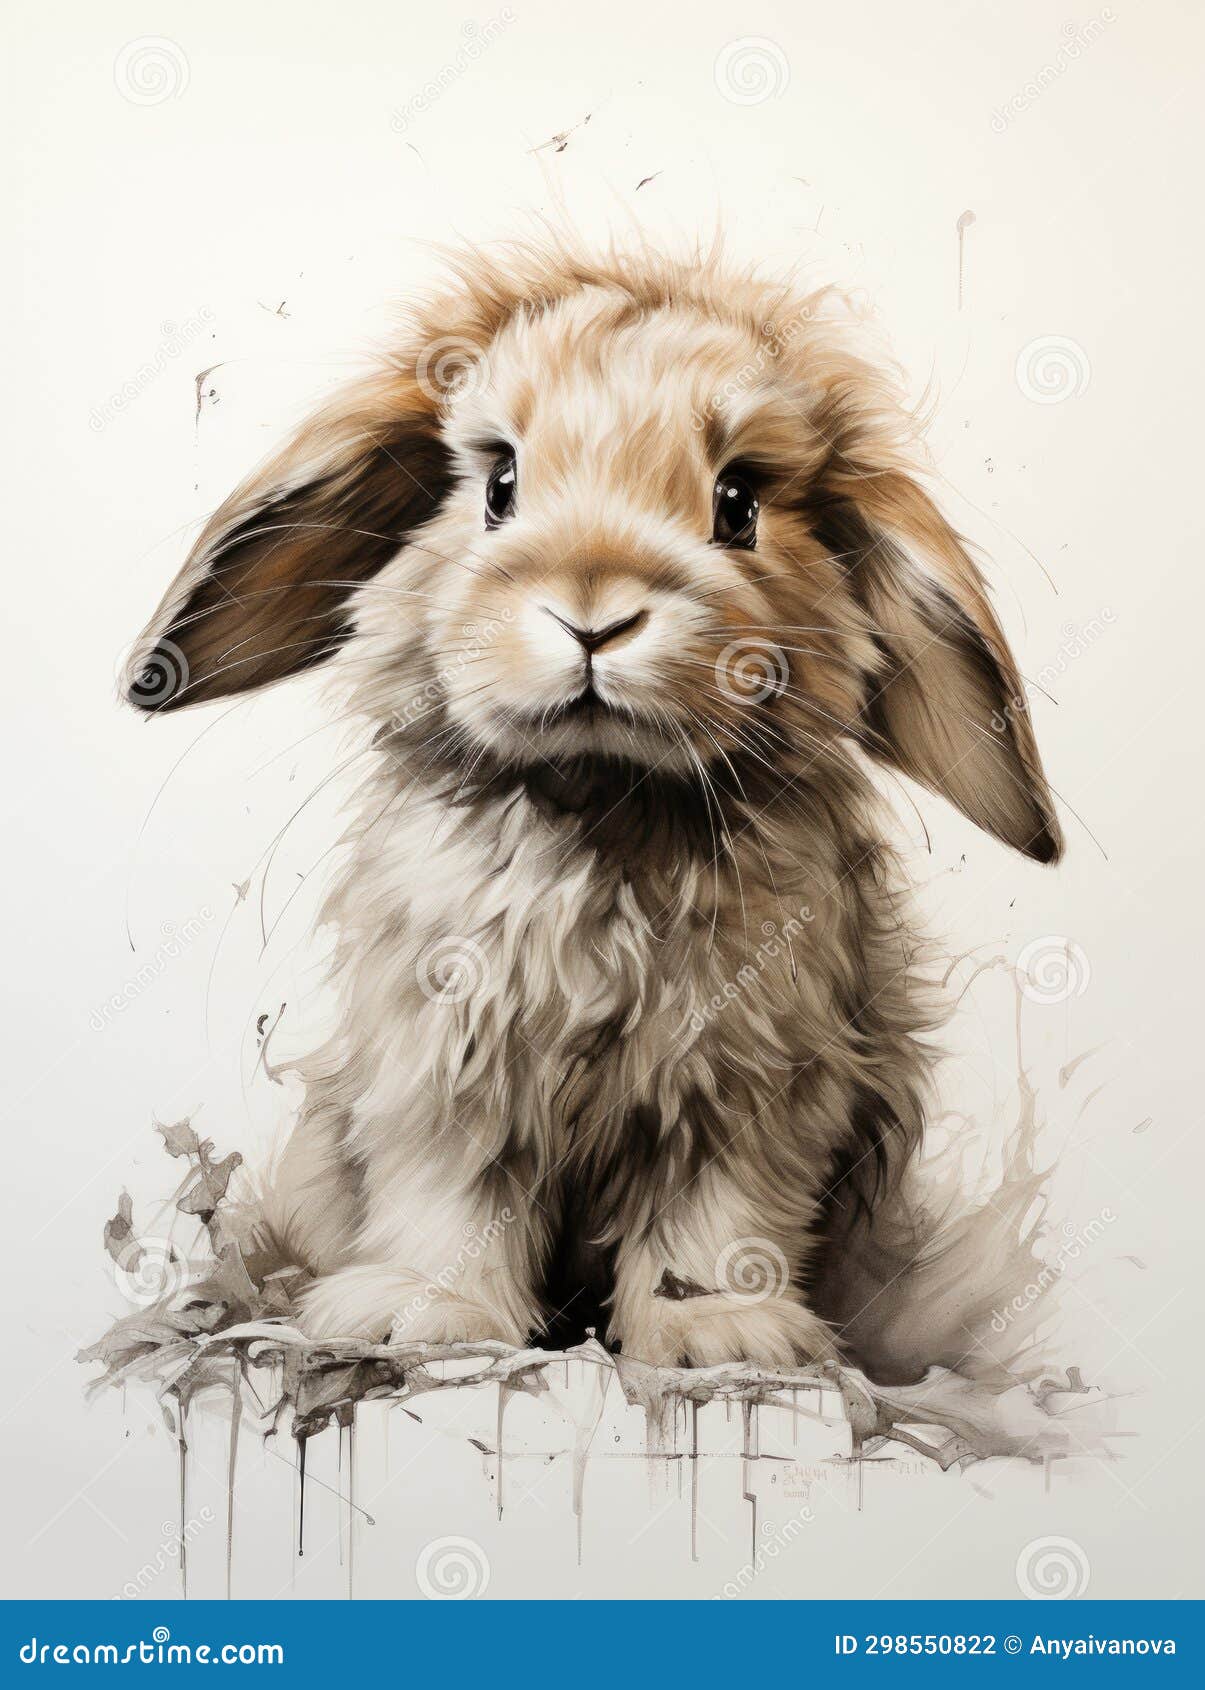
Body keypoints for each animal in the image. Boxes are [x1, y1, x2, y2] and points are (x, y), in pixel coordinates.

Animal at [124, 236, 1062, 1367]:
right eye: (498, 483)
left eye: (739, 503)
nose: (591, 614)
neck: (602, 804)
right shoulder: (446, 1072)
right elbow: (451, 1196)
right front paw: (419, 1311)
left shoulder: (748, 1087)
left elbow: (717, 1213)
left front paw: (721, 1332)